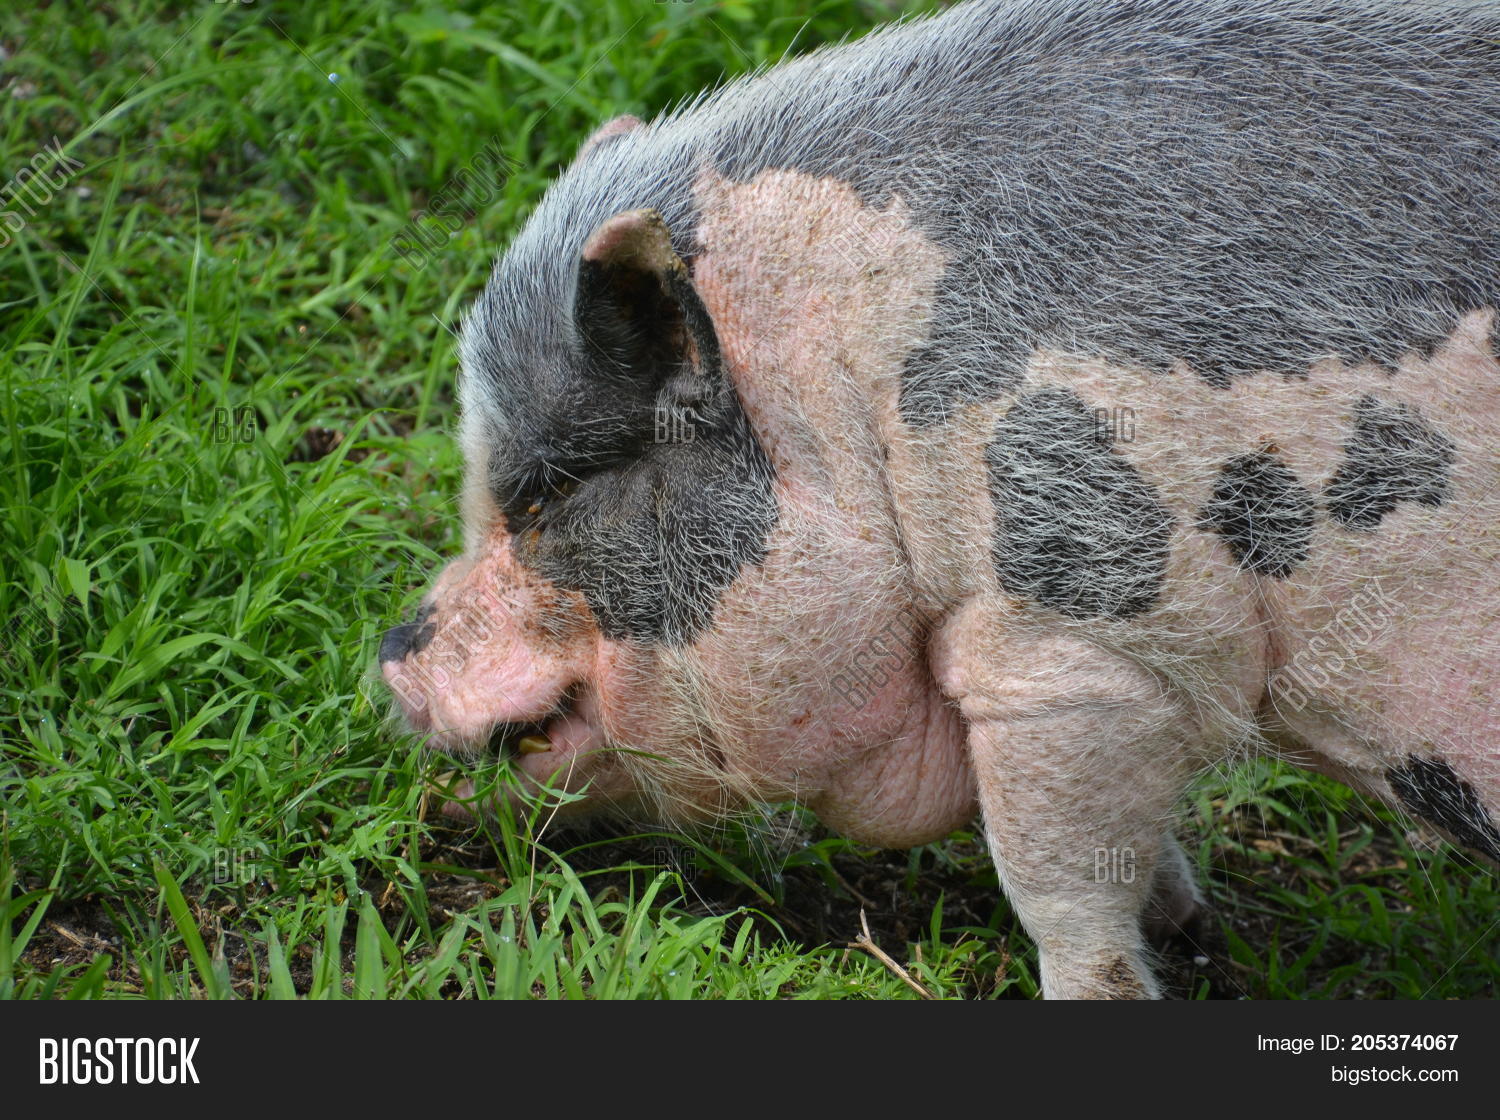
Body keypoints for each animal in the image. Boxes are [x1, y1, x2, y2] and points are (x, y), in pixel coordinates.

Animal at [381, 0, 1500, 998]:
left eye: (563, 487)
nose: (392, 653)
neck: (849, 401)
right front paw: (1191, 931)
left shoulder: (1070, 635)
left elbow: (1058, 887)